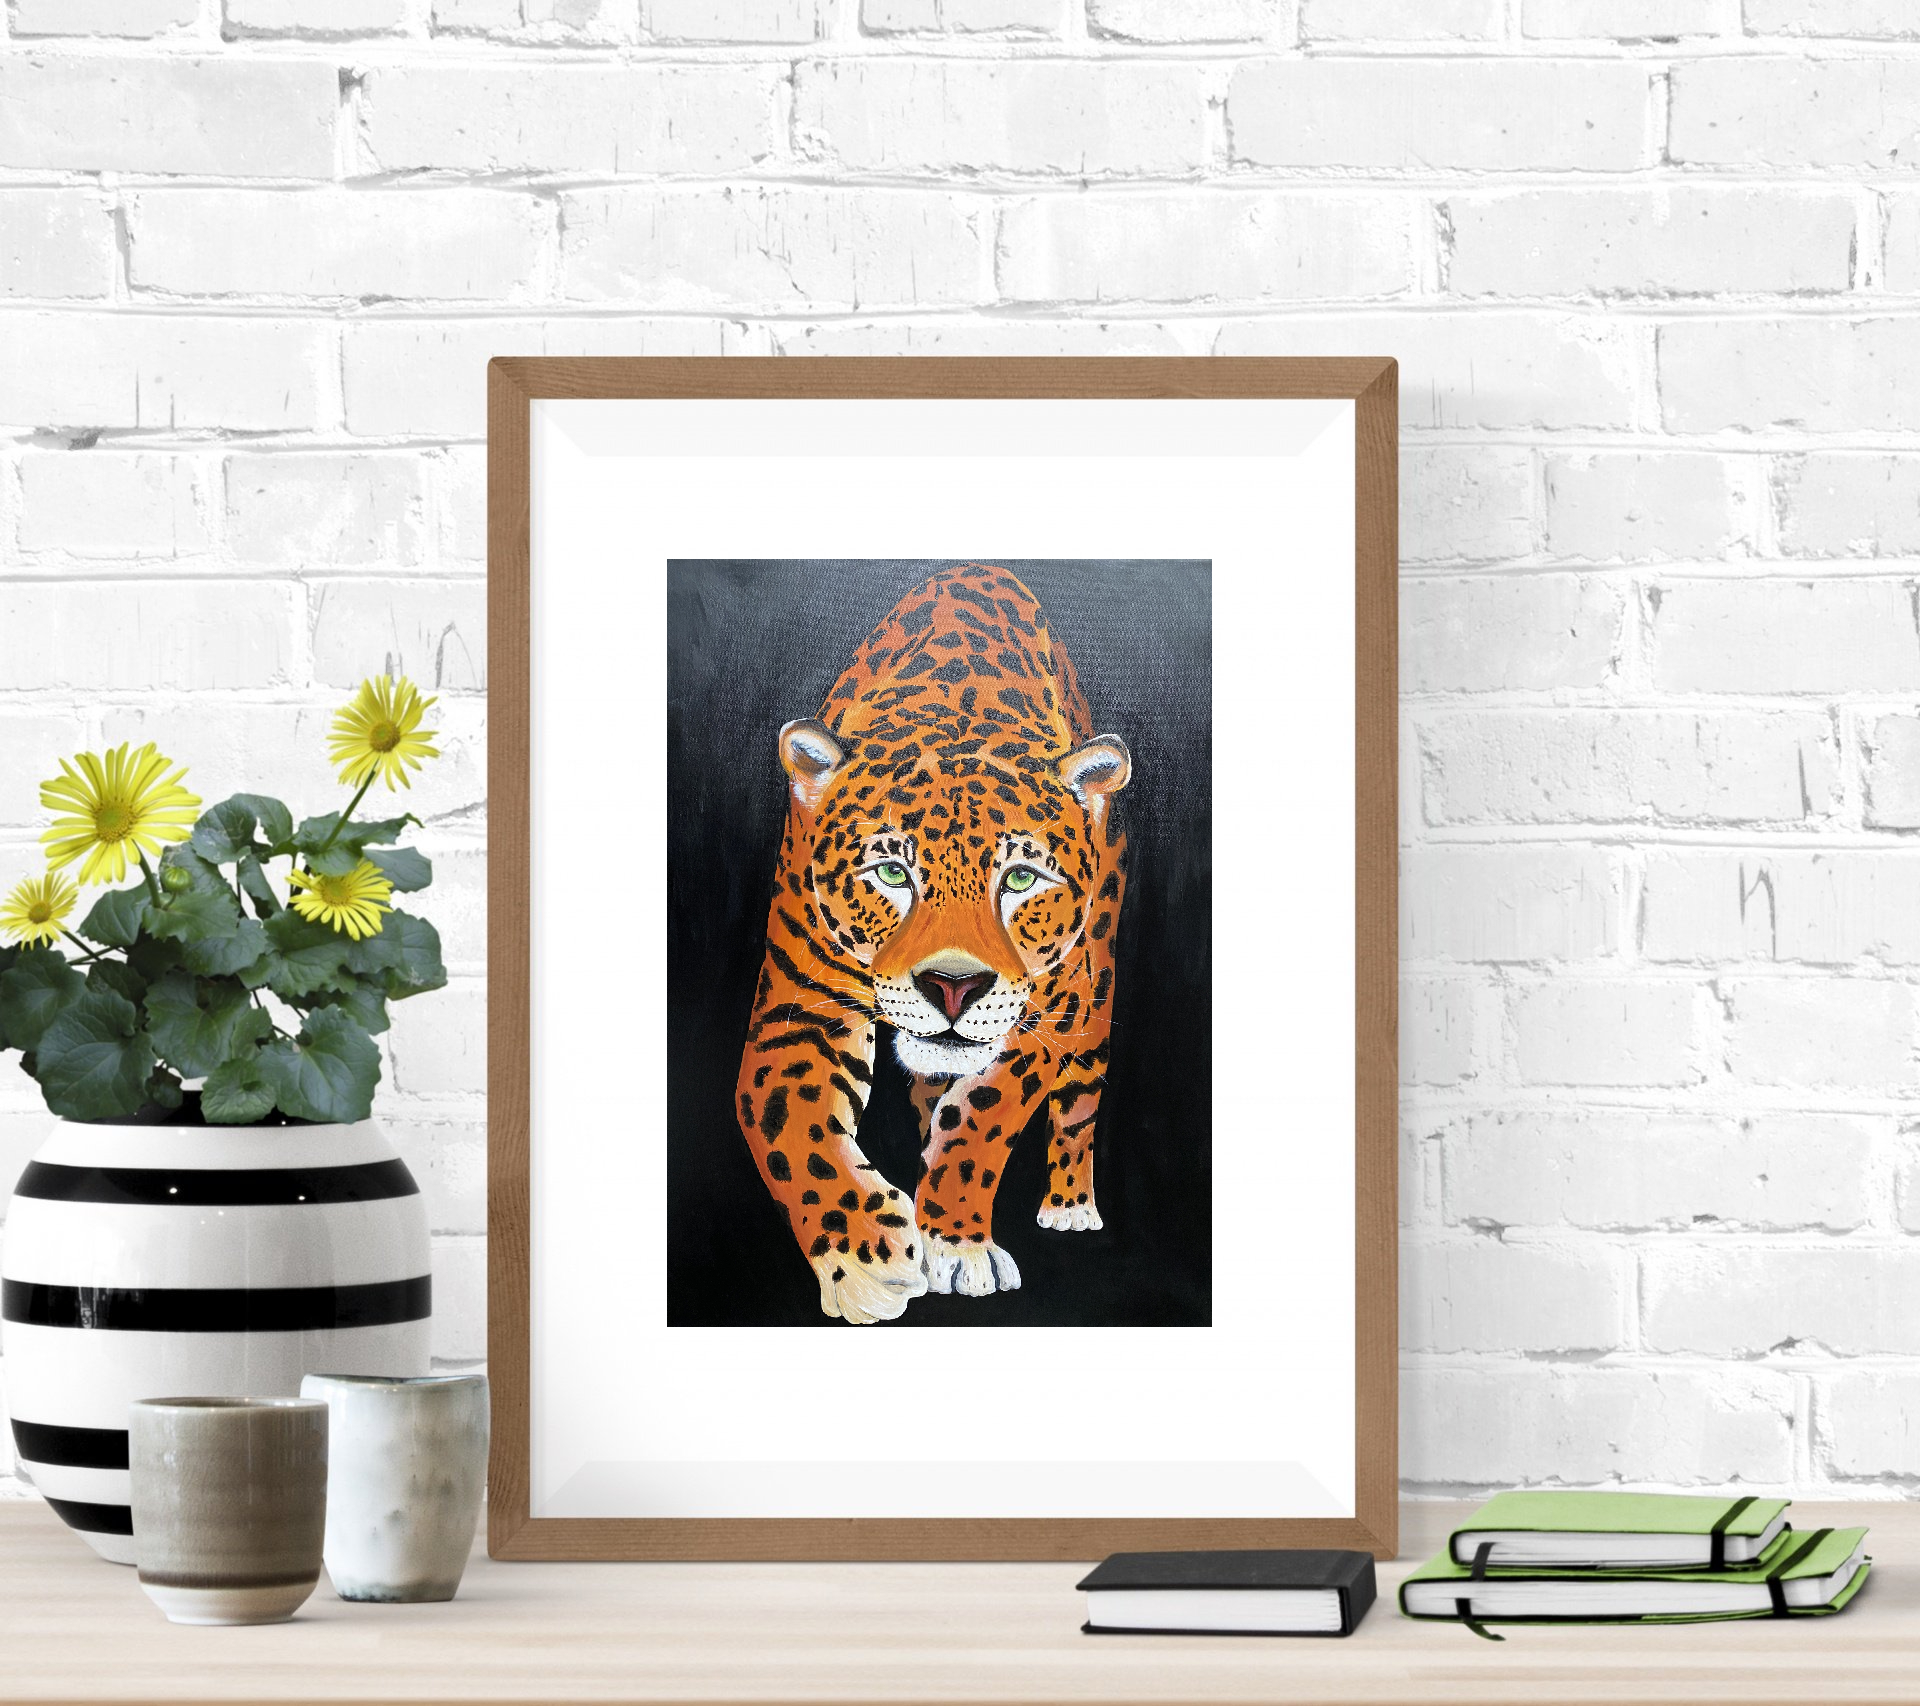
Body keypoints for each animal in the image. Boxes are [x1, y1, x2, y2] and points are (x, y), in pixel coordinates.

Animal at [733, 563, 1131, 1325]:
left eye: (1021, 878)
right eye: (892, 872)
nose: (954, 987)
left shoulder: (1041, 1014)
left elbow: (984, 1114)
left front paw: (957, 1242)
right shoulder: (798, 1013)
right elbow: (797, 1135)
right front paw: (865, 1259)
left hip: (1092, 994)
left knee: (1079, 1102)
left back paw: (1069, 1203)